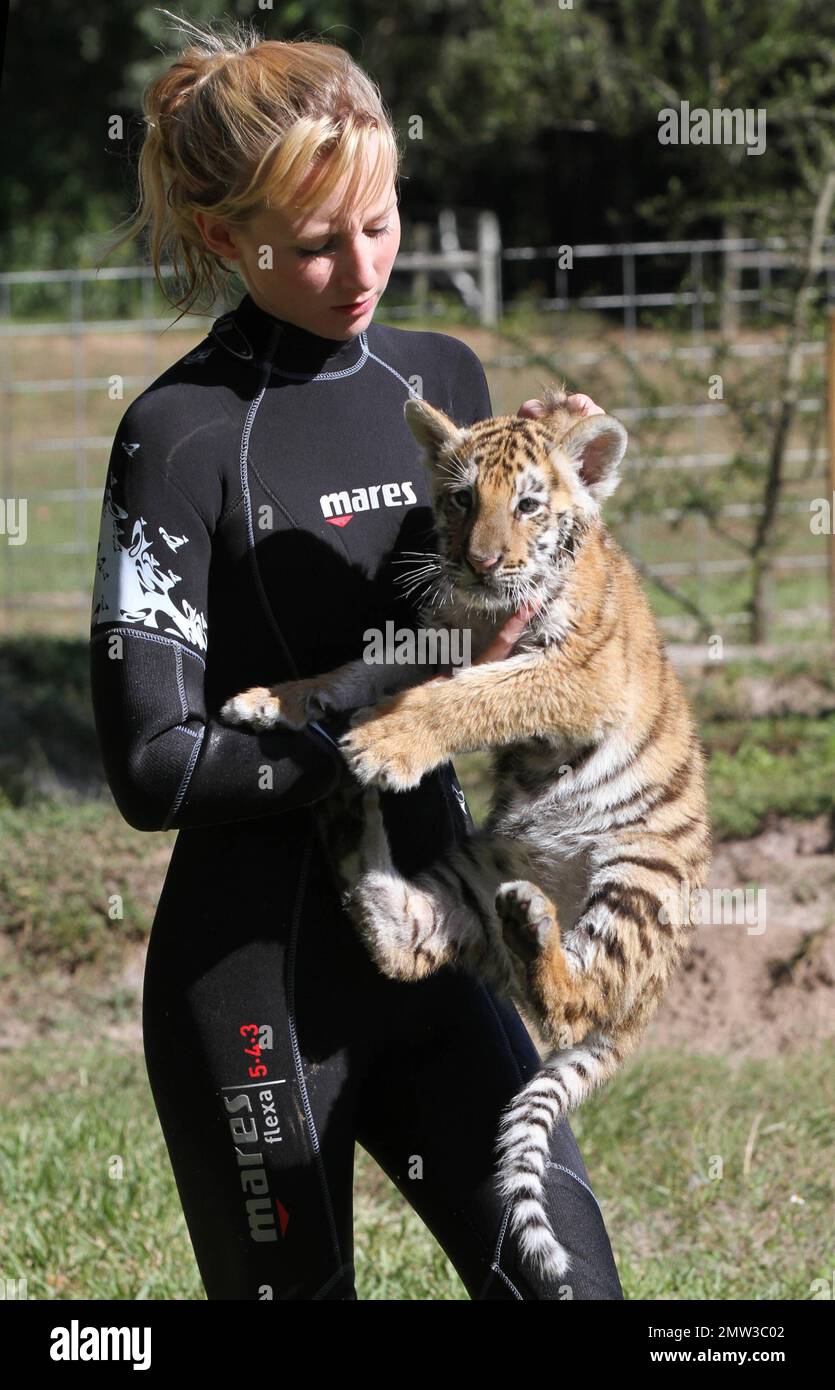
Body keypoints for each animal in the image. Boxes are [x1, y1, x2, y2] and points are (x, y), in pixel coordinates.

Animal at [220, 384, 713, 1282]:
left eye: (526, 505)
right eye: (458, 500)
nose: (479, 563)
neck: (481, 607)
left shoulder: (567, 674)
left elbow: (474, 694)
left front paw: (384, 742)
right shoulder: (430, 633)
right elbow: (359, 666)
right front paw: (273, 700)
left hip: (636, 880)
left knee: (572, 1008)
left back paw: (530, 923)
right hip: (467, 883)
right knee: (402, 939)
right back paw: (357, 816)